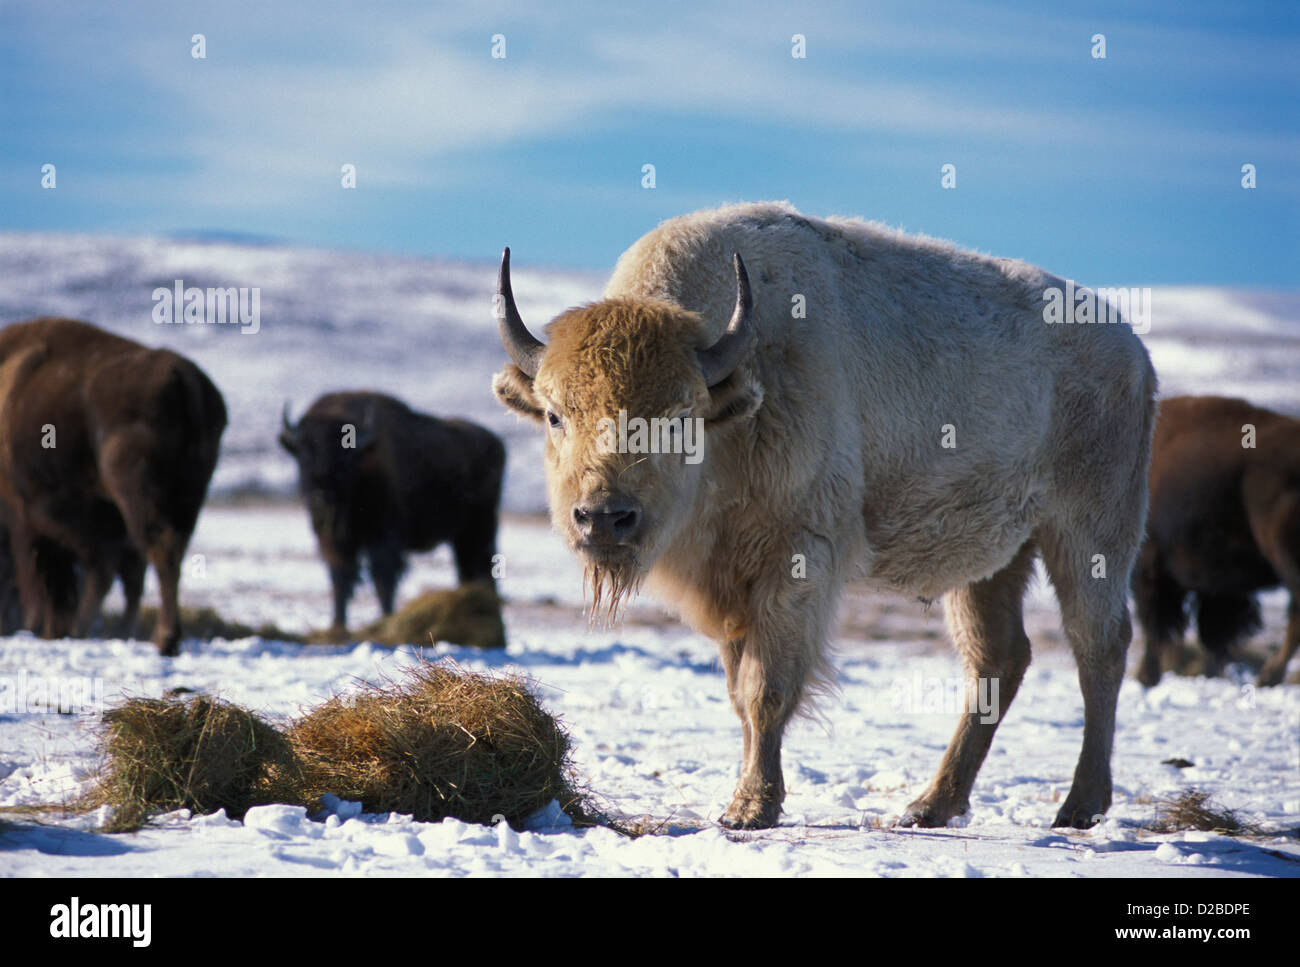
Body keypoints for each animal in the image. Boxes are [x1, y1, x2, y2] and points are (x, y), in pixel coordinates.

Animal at [0, 317, 226, 655]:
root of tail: (182, 377)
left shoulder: (29, 519)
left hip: (138, 497)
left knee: (154, 553)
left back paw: (160, 638)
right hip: (185, 498)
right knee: (159, 559)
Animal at [279, 392, 505, 632]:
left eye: (346, 456)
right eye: (304, 452)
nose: (321, 491)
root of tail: (496, 442)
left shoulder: (384, 536)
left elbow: (382, 580)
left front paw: (386, 619)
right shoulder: (334, 541)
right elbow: (340, 578)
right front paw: (338, 625)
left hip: (481, 529)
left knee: (483, 570)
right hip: (461, 538)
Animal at [493, 202, 1156, 829]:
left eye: (679, 417)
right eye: (554, 414)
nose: (604, 518)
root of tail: (1136, 358)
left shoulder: (796, 563)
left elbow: (766, 690)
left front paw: (751, 808)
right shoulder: (734, 584)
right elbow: (740, 694)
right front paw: (748, 797)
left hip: (1089, 535)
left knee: (1098, 647)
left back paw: (1080, 805)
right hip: (992, 564)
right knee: (998, 660)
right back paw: (929, 805)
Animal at [1132, 395, 1299, 687]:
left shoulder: (1150, 568)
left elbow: (1156, 627)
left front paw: (1147, 676)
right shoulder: (1215, 587)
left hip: (1282, 554)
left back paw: (1269, 675)